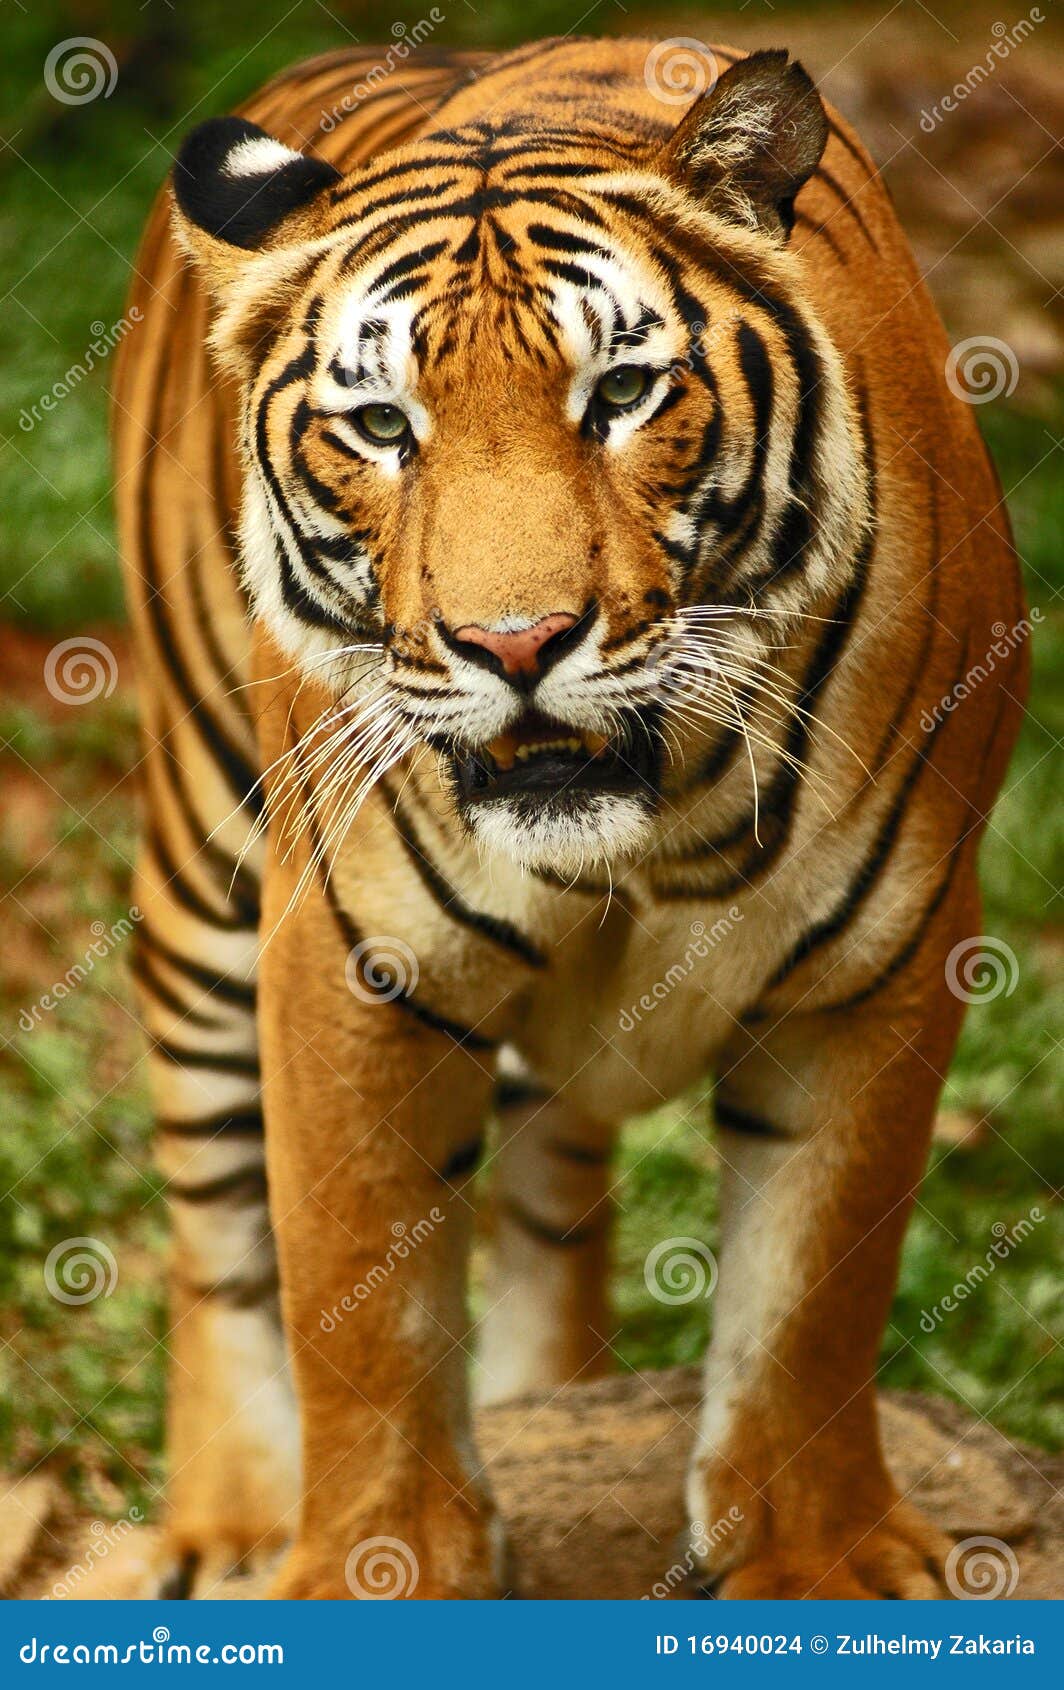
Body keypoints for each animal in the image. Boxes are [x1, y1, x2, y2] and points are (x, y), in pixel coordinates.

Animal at [112, 35, 1027, 1600]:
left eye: (623, 392)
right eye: (381, 426)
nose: (516, 642)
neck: (659, 823)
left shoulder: (881, 965)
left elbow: (813, 1294)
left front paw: (817, 1560)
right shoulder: (351, 964)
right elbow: (356, 1301)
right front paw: (374, 1562)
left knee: (548, 1185)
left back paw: (553, 1400)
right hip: (201, 865)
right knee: (216, 1206)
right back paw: (230, 1518)